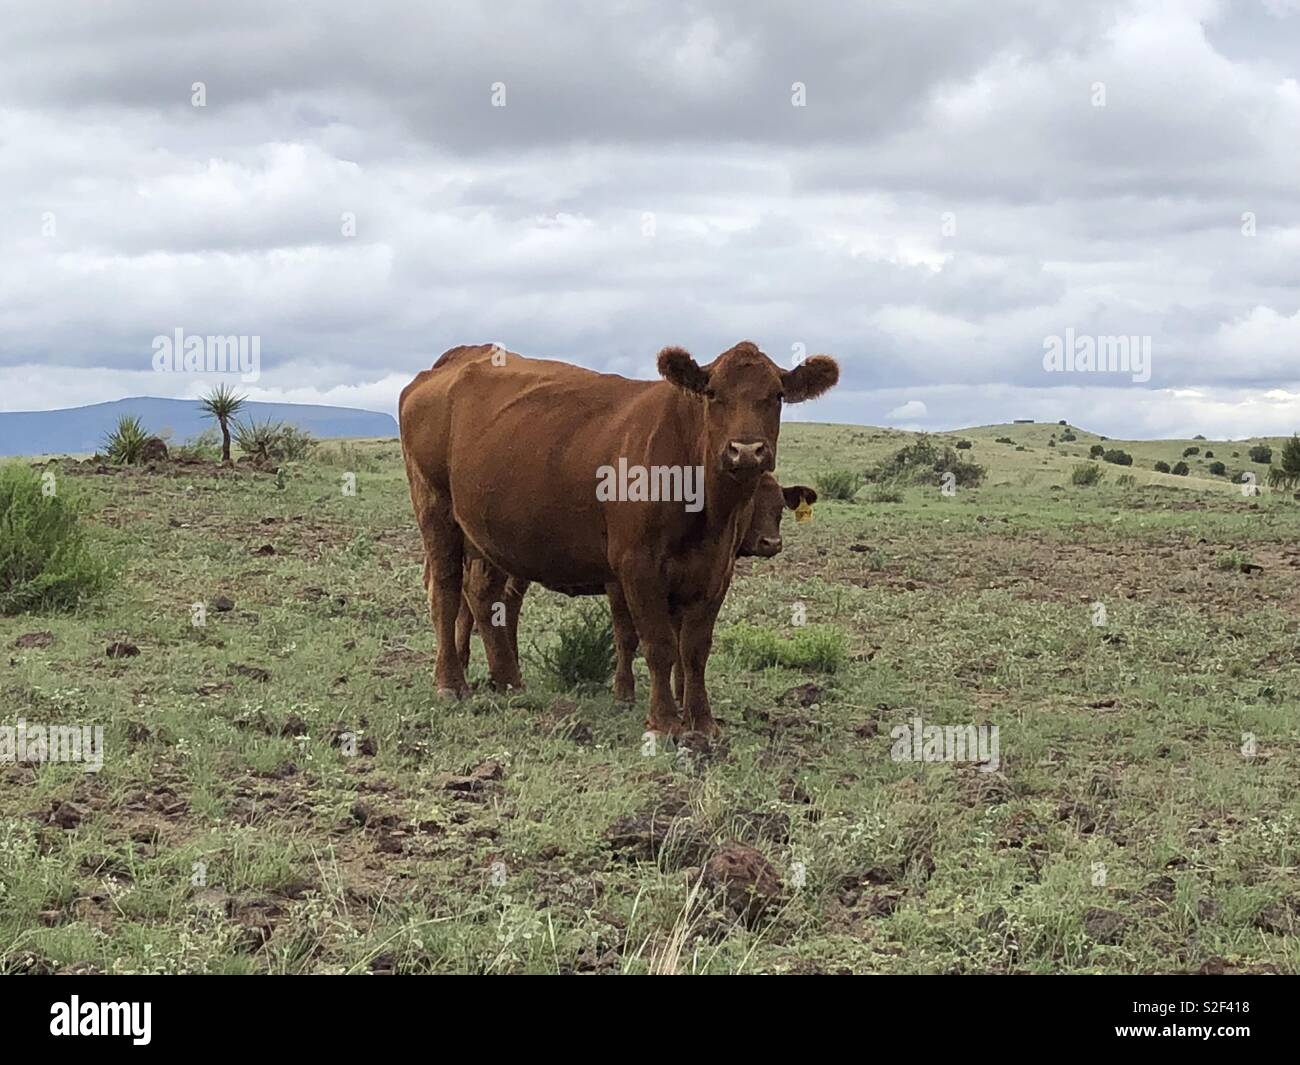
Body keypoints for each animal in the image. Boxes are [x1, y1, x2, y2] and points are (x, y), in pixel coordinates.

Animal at [452, 472, 819, 698]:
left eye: (779, 507)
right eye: (749, 504)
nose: (771, 543)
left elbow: (680, 641)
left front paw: (681, 691)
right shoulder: (621, 587)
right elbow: (627, 637)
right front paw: (624, 689)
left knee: (495, 606)